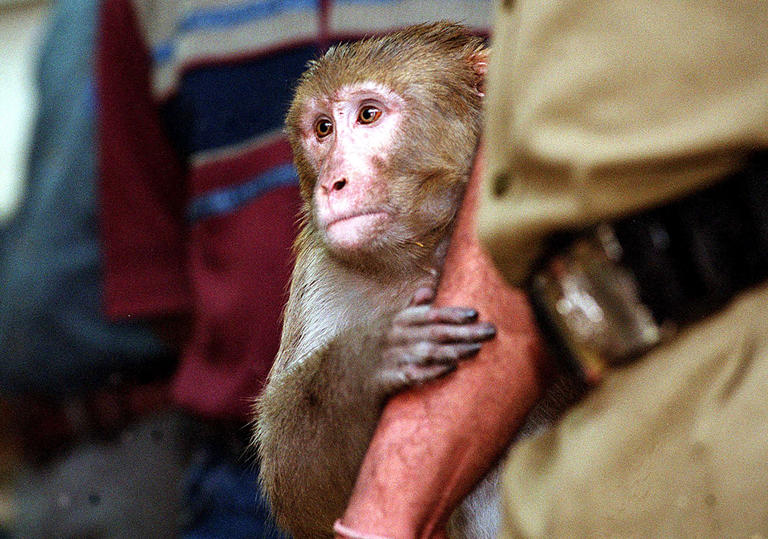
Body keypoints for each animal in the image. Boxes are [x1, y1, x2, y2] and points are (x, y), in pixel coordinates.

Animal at [254, 22, 498, 538]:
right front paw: (368, 360)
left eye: (368, 115)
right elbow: (297, 486)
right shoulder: (321, 269)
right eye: (323, 128)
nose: (332, 184)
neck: (417, 250)